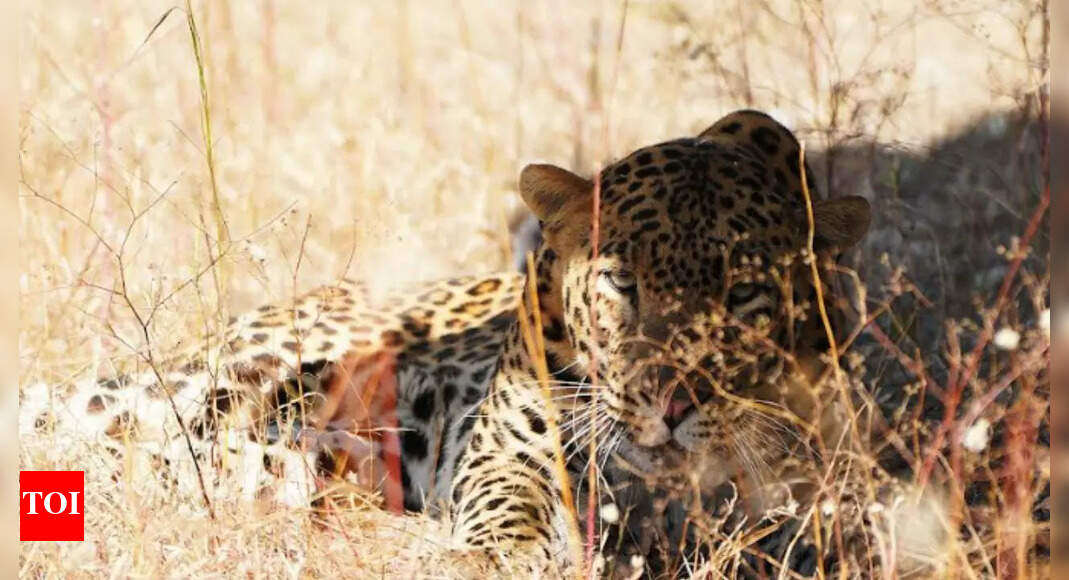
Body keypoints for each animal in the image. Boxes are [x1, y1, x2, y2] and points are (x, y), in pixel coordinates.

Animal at [20, 110, 949, 577]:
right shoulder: (512, 456)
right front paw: (488, 551)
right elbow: (509, 524)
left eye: (744, 295)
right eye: (621, 285)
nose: (669, 406)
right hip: (229, 396)